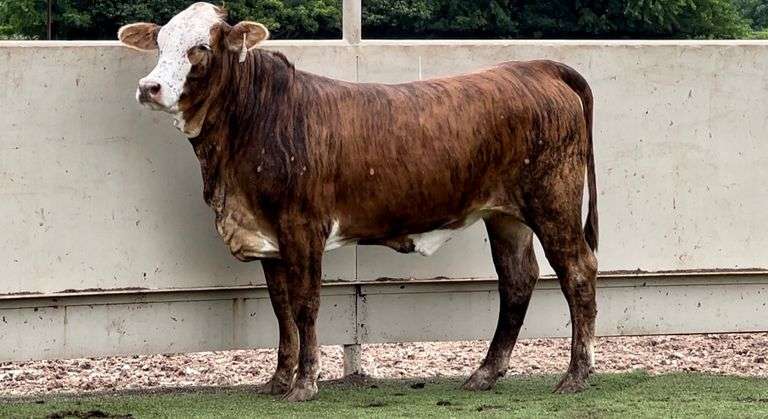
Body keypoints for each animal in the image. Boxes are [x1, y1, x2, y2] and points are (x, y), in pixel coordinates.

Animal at [118, 2, 598, 402]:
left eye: (199, 48)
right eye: (160, 42)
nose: (149, 86)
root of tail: (537, 67)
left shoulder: (302, 227)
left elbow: (304, 305)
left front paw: (305, 384)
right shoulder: (269, 236)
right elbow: (280, 308)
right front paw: (278, 380)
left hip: (553, 201)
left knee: (577, 271)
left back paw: (575, 376)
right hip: (504, 215)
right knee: (517, 279)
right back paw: (485, 373)